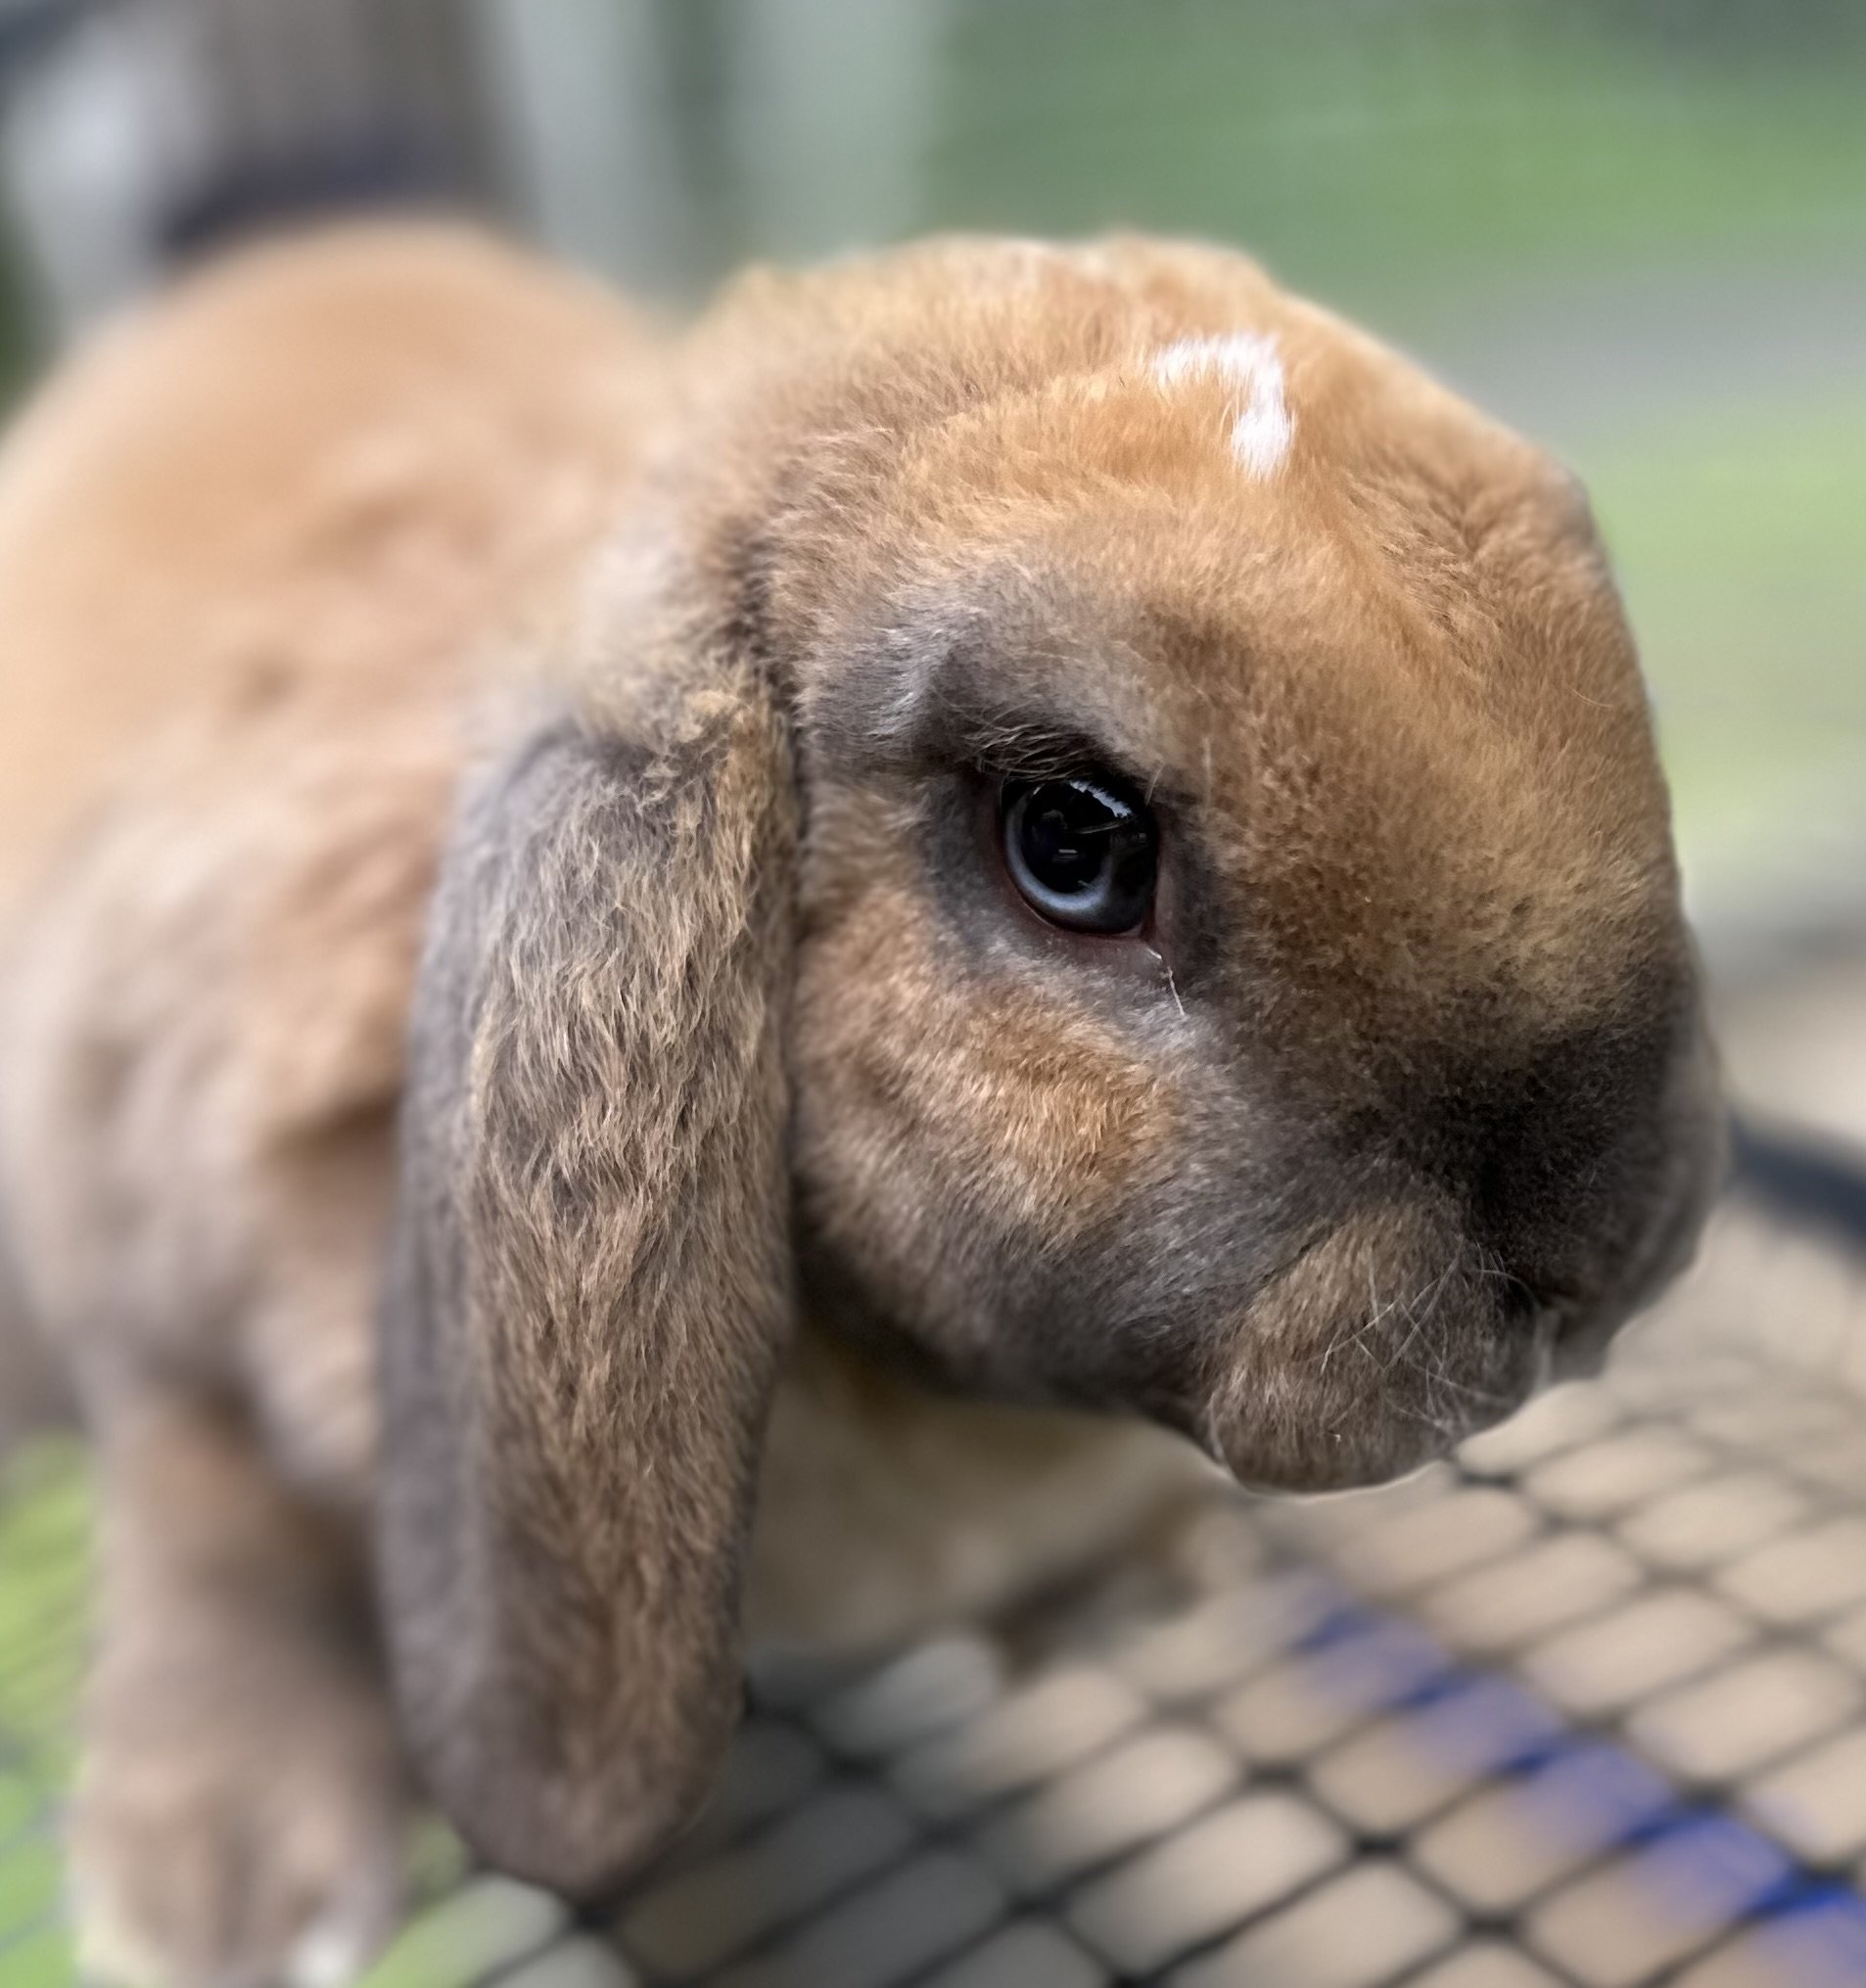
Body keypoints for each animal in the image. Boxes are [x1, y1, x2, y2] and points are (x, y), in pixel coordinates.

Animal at [0, 220, 1722, 1987]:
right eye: (1074, 843)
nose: (1602, 1244)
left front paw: (1132, 1580)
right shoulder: (138, 1258)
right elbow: (210, 1511)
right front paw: (219, 1888)